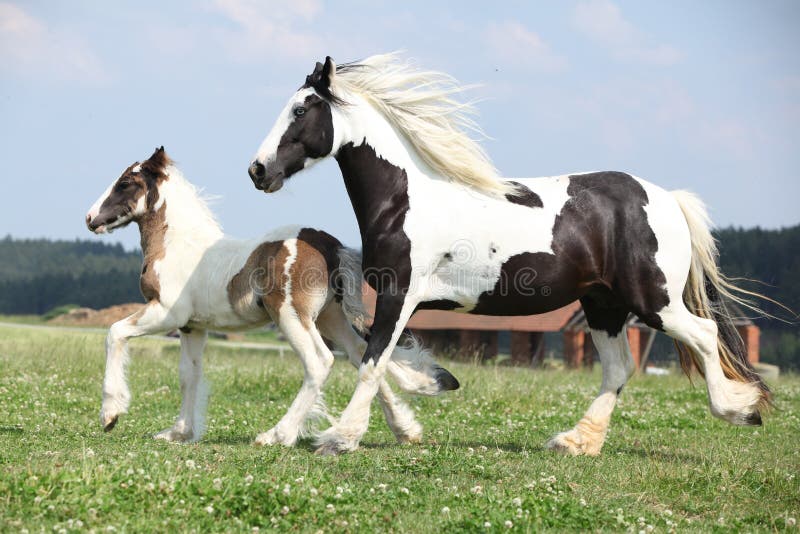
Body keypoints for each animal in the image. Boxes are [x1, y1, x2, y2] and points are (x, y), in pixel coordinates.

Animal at [85, 146, 458, 445]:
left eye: (125, 183)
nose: (90, 218)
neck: (180, 245)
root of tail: (329, 245)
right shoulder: (193, 327)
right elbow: (188, 376)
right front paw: (179, 432)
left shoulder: (166, 313)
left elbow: (115, 333)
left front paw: (111, 414)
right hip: (330, 317)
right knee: (363, 355)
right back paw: (404, 430)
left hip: (291, 315)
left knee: (320, 362)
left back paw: (277, 434)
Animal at [247, 53, 772, 456]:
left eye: (300, 110)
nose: (257, 170)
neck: (405, 199)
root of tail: (669, 199)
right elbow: (374, 358)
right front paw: (428, 387)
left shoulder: (400, 295)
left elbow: (373, 362)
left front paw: (339, 438)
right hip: (603, 304)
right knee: (619, 368)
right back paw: (576, 442)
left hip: (653, 300)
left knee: (704, 335)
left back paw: (740, 409)